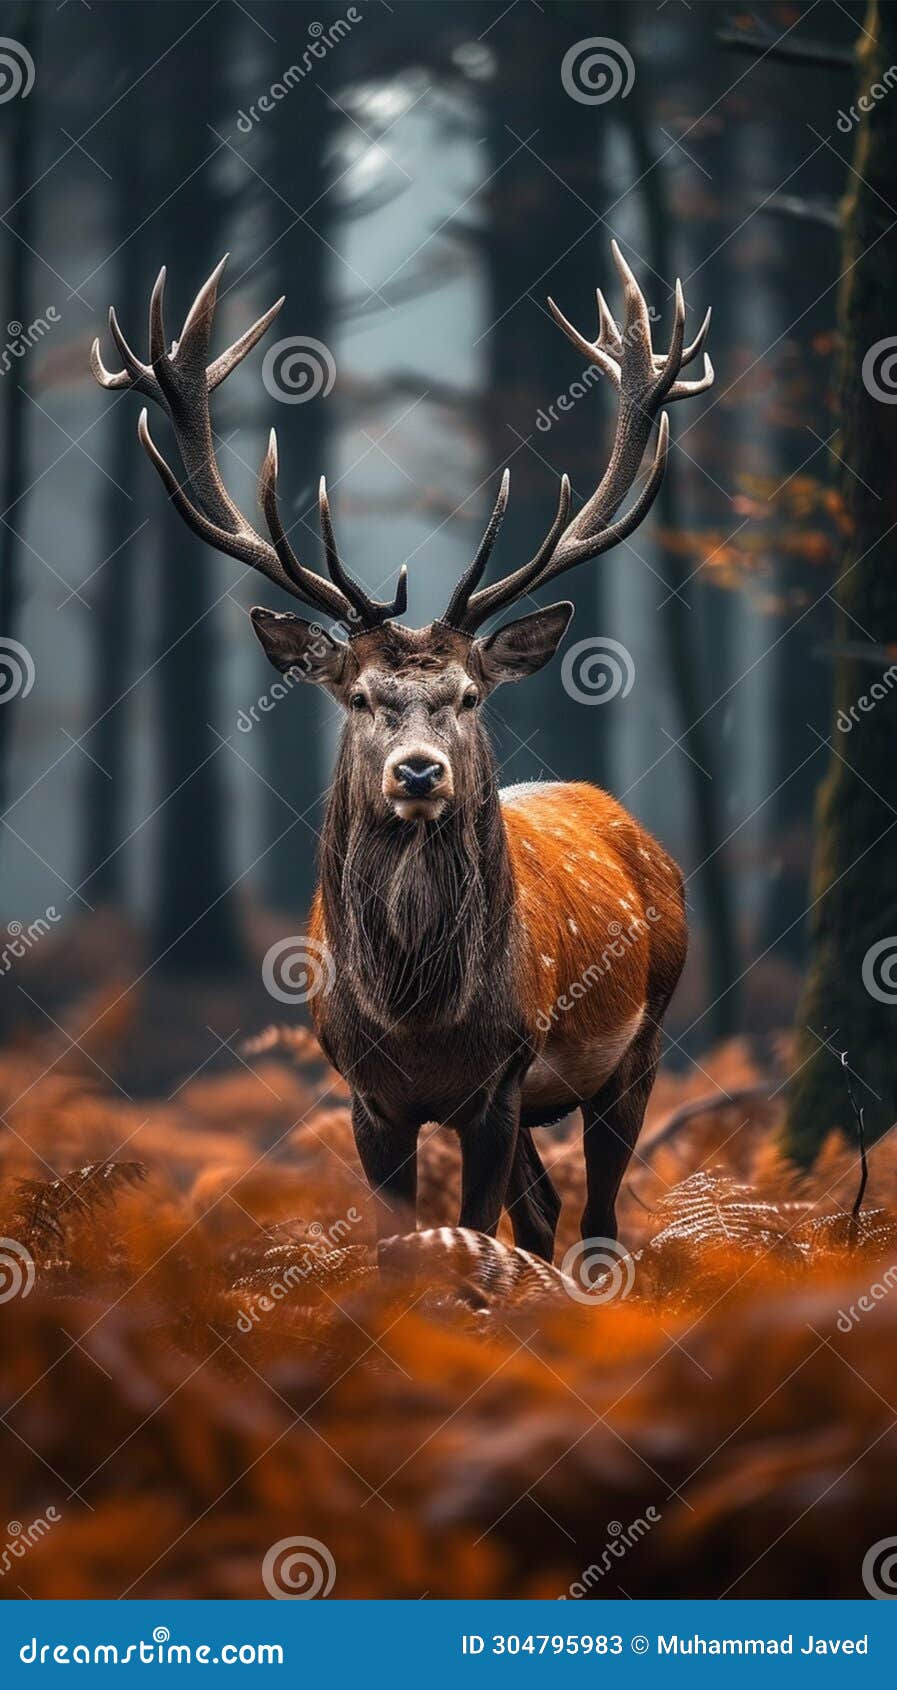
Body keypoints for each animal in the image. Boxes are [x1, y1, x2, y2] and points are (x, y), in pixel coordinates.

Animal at [92, 243, 712, 1267]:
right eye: (360, 697)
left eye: (466, 696)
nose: (419, 771)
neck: (420, 1023)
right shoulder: (367, 1095)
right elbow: (401, 1249)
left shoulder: (500, 1080)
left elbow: (474, 1237)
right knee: (544, 1212)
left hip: (640, 1044)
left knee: (598, 1219)